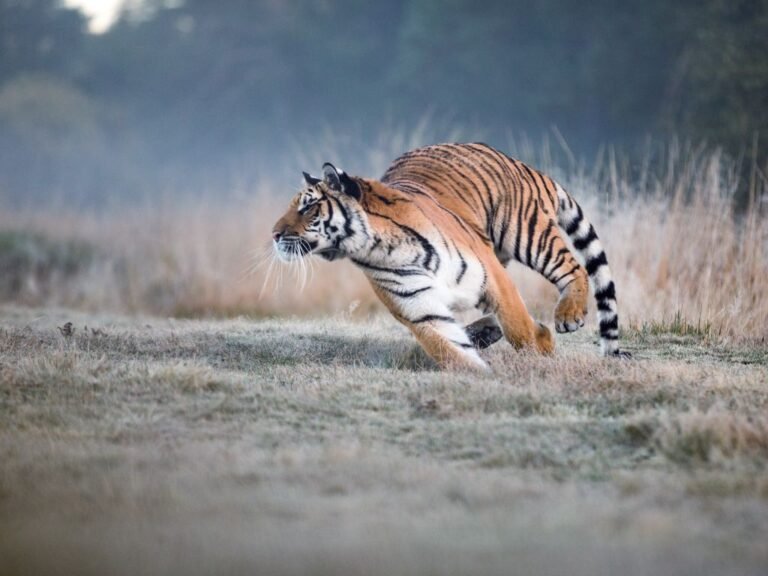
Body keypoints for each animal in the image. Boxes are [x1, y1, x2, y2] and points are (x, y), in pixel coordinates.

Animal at [271, 142, 628, 370]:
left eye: (307, 207)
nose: (273, 234)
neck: (379, 249)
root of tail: (522, 164)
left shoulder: (491, 276)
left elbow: (519, 327)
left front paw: (541, 350)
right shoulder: (418, 307)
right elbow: (448, 348)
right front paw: (479, 375)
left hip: (526, 234)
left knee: (573, 266)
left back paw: (568, 315)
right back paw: (485, 331)